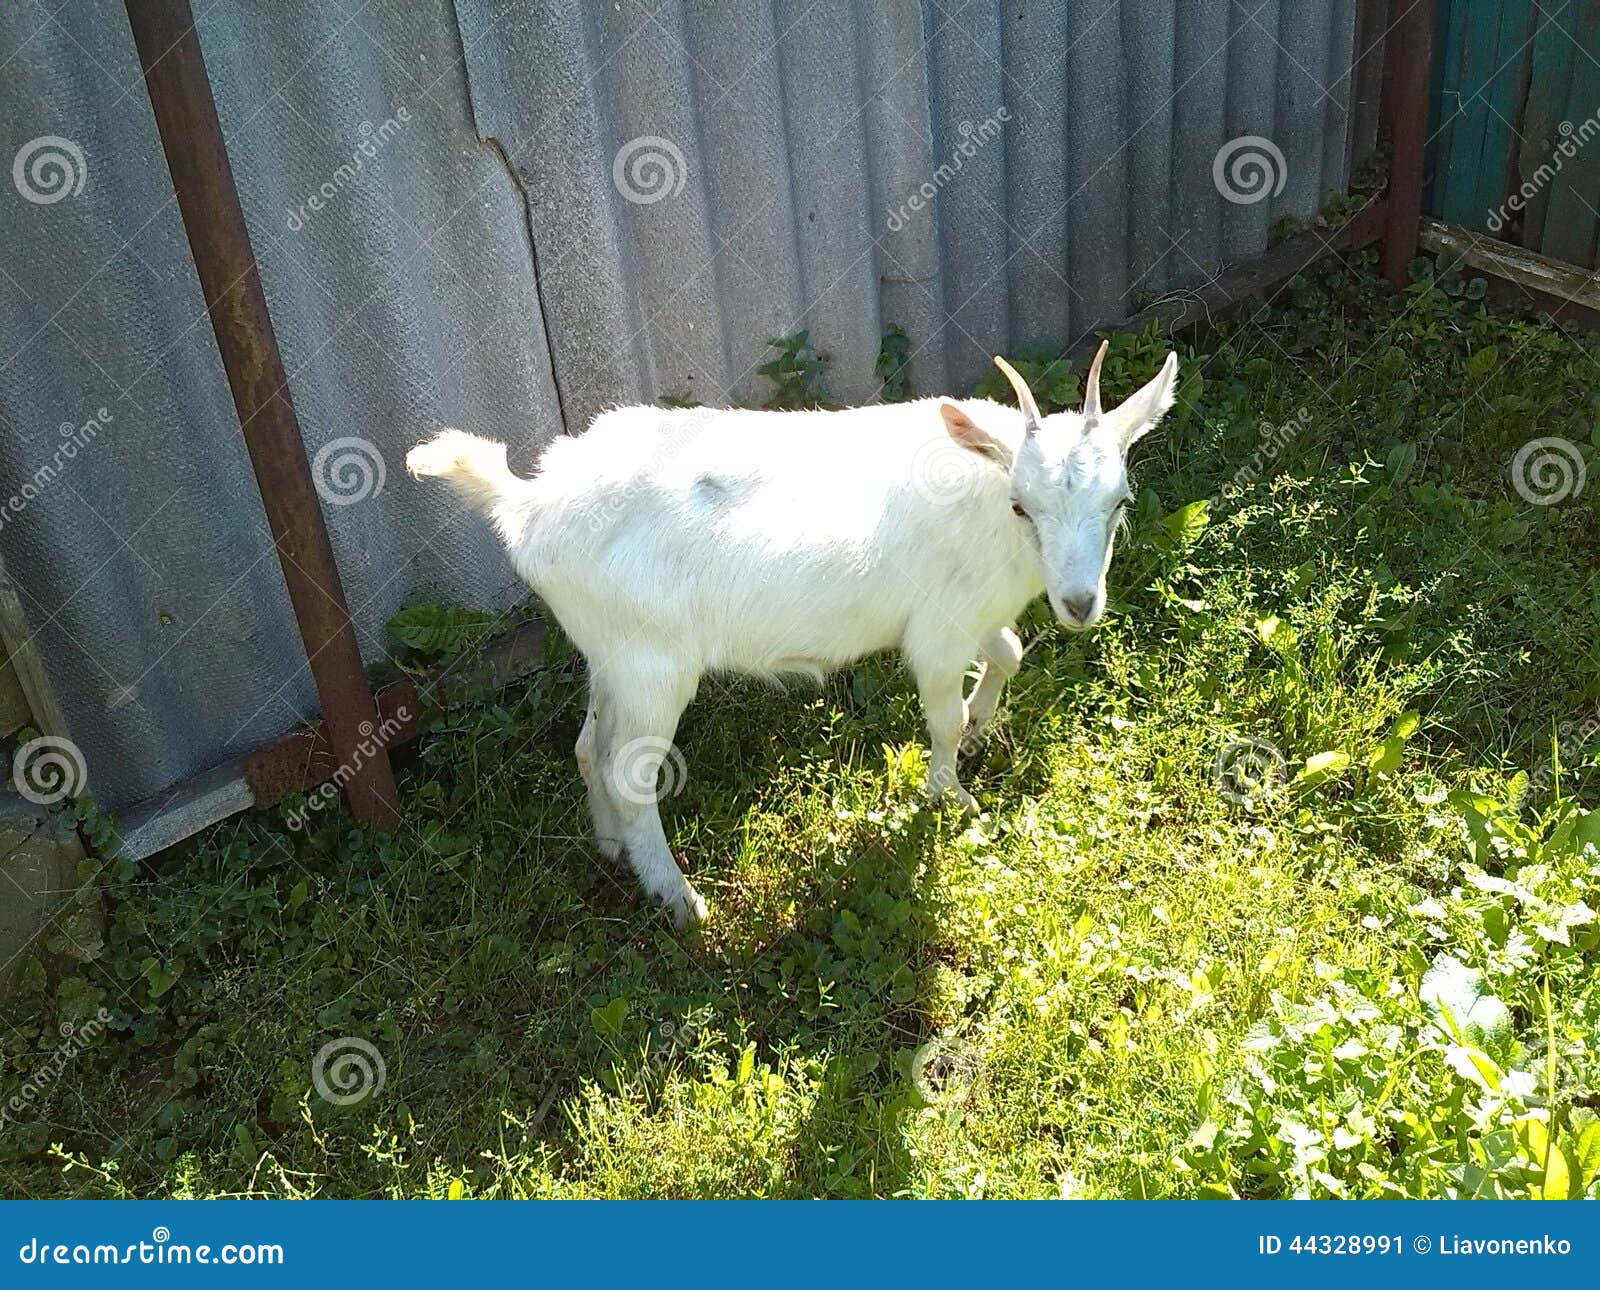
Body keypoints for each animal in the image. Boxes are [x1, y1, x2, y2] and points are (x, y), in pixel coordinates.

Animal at [406, 343, 1180, 926]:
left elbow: (1010, 653)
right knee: (630, 773)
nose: (1079, 603)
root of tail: (528, 504)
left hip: (610, 655)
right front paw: (952, 798)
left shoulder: (968, 612)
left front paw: (986, 725)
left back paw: (611, 848)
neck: (982, 499)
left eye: (1119, 501)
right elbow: (943, 717)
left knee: (588, 747)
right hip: (655, 665)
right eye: (1023, 505)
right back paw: (680, 900)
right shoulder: (935, 635)